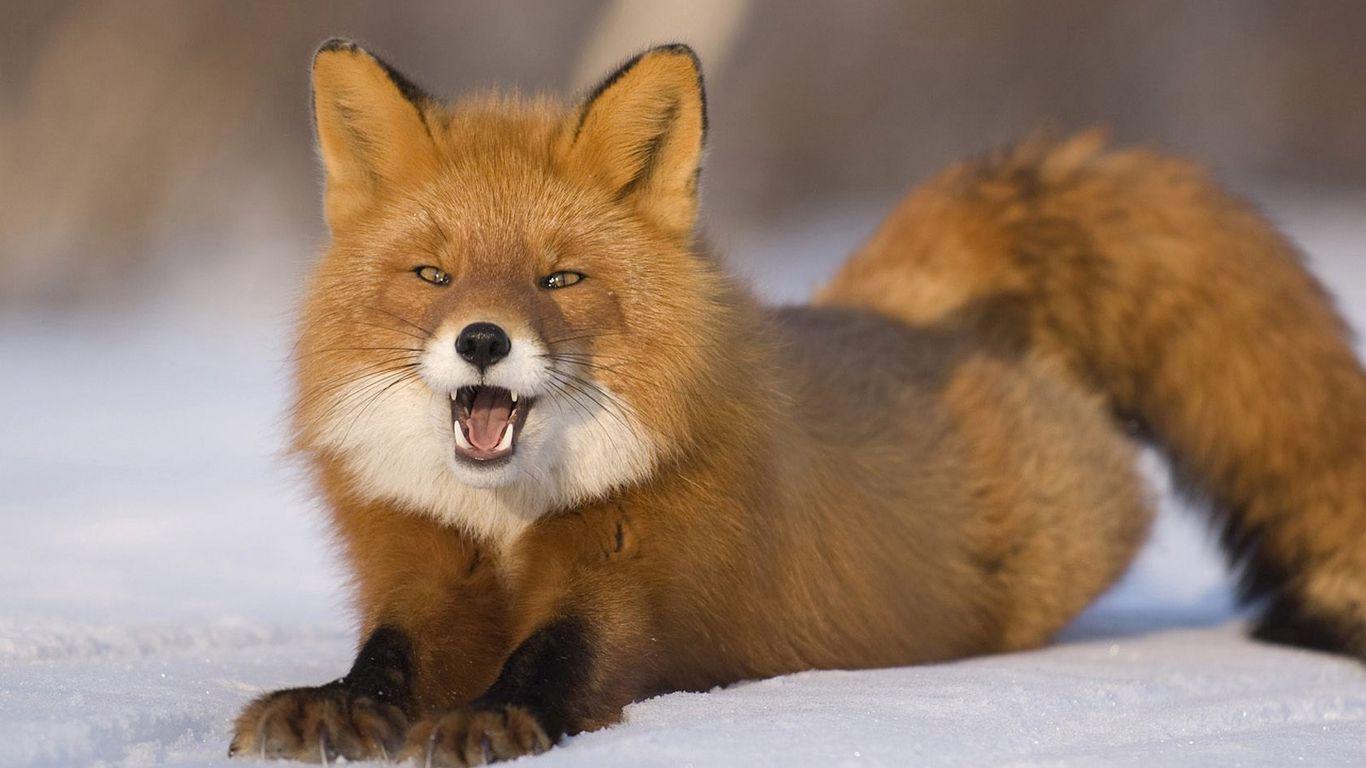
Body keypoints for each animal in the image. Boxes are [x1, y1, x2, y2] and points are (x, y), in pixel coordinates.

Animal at [230, 39, 1366, 765]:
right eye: (433, 275)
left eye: (560, 279)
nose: (481, 339)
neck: (509, 521)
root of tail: (904, 311)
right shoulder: (419, 564)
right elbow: (387, 658)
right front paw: (335, 707)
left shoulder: (644, 580)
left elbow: (559, 660)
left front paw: (490, 720)